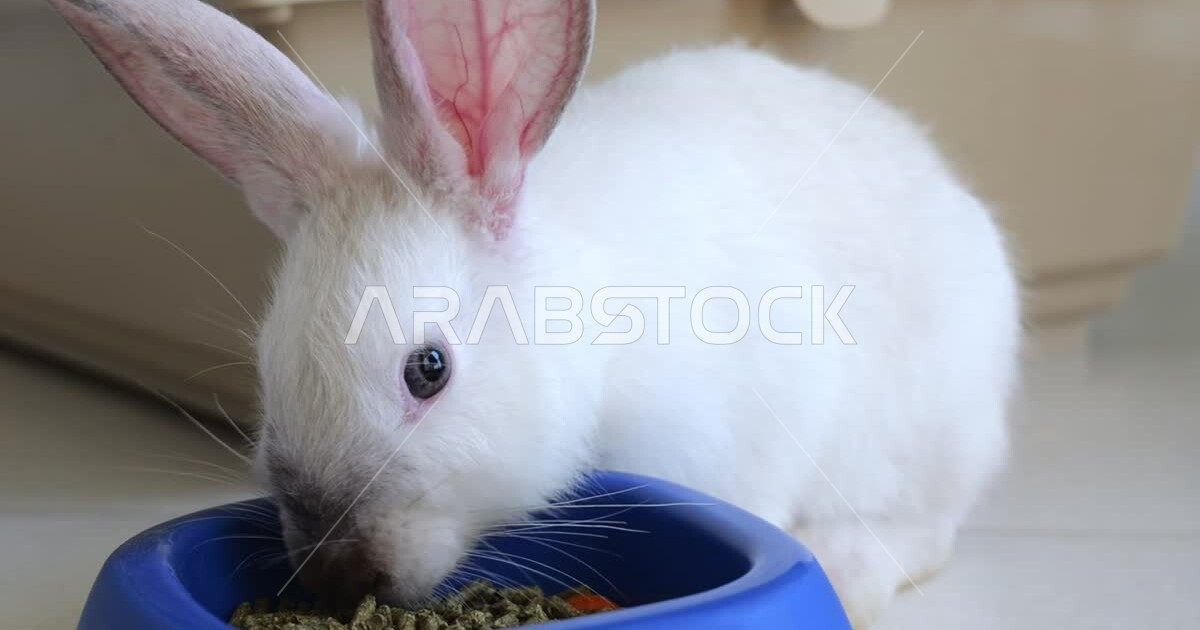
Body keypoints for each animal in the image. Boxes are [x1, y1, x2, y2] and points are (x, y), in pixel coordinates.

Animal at [47, 0, 1020, 626]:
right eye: (265, 368)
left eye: (428, 370)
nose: (336, 573)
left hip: (928, 433)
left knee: (923, 530)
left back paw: (850, 576)